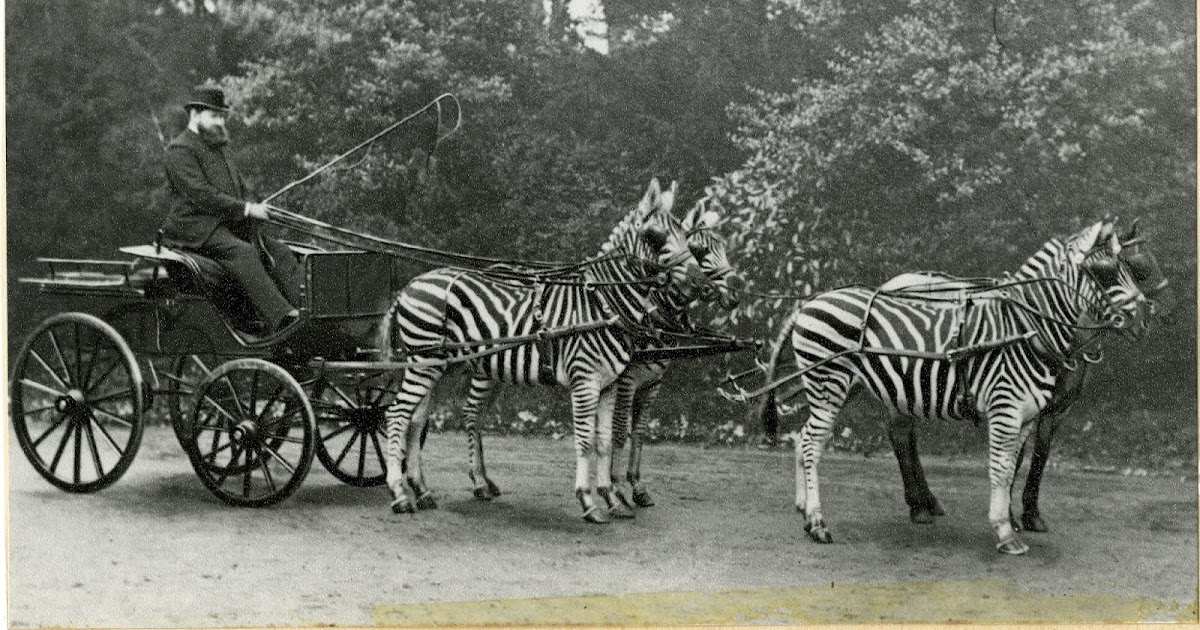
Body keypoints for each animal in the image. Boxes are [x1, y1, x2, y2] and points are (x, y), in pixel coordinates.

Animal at [377, 178, 708, 522]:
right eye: (655, 236)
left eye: (686, 238)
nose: (700, 284)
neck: (603, 304)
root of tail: (410, 285)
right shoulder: (585, 382)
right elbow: (585, 441)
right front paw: (588, 501)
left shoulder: (611, 385)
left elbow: (604, 441)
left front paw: (612, 499)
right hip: (424, 360)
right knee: (397, 414)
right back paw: (400, 494)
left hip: (437, 364)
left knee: (417, 419)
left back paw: (422, 490)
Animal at [461, 195, 742, 508]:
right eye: (699, 249)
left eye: (721, 247)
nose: (736, 291)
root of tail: (489, 268)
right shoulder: (625, 380)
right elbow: (617, 432)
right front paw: (616, 488)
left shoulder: (651, 384)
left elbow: (638, 432)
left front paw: (636, 487)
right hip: (485, 369)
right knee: (471, 413)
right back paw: (479, 482)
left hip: (499, 368)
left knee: (480, 415)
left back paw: (486, 480)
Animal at [757, 220, 1146, 554]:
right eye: (1105, 272)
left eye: (1135, 270)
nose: (1144, 321)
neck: (1026, 328)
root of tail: (810, 301)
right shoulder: (1006, 410)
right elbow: (1001, 469)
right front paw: (1005, 532)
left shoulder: (1027, 416)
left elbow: (1013, 467)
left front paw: (1012, 521)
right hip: (829, 383)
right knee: (813, 444)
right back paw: (819, 523)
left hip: (844, 385)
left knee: (804, 438)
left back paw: (805, 511)